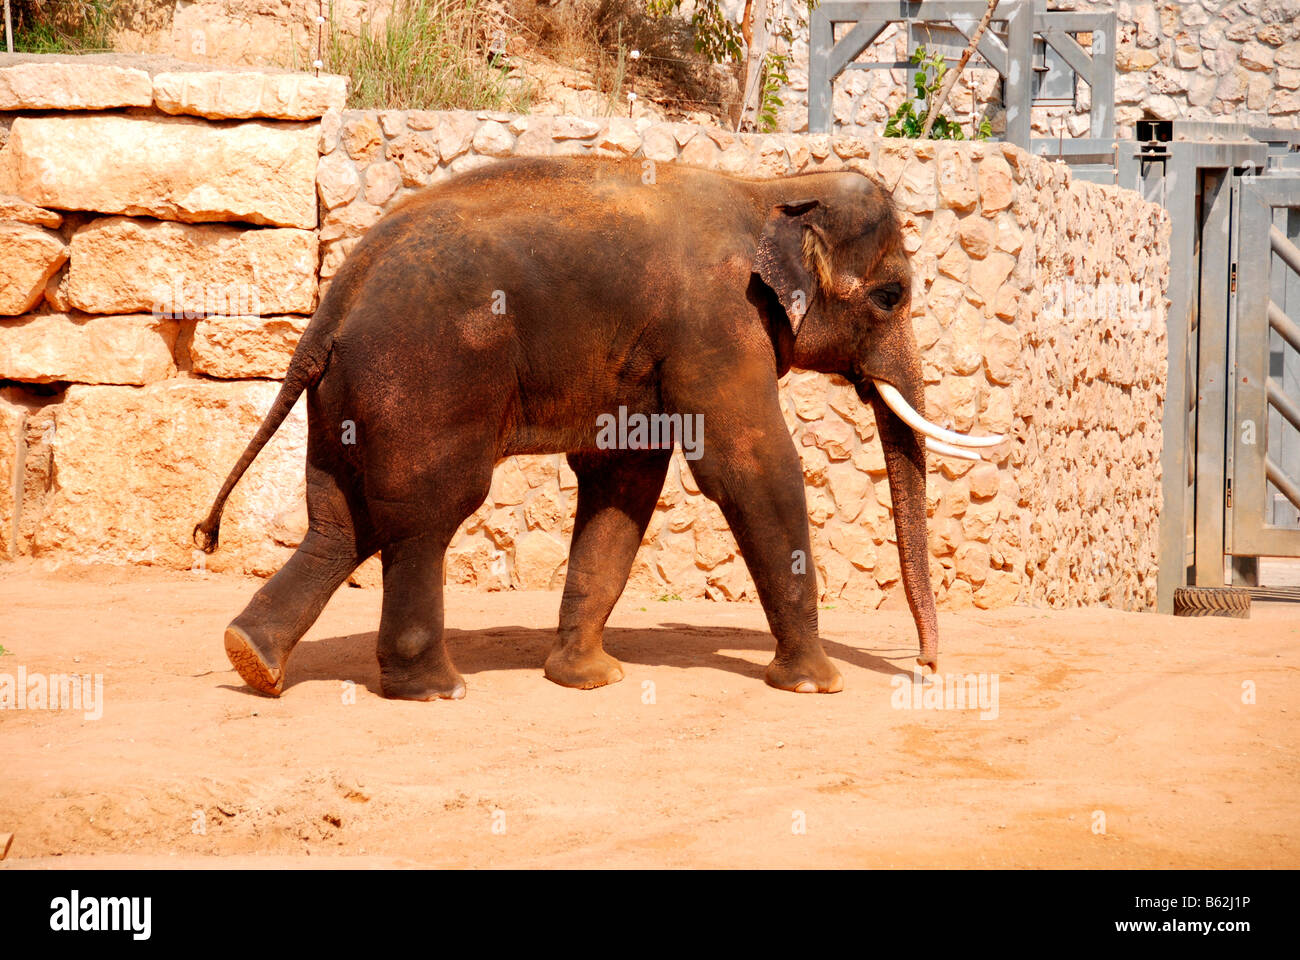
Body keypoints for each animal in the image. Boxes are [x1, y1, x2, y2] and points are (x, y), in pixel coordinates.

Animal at [195, 155, 1001, 701]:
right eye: (891, 296)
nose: (927, 666)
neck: (770, 186)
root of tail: (333, 302)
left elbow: (625, 480)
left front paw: (588, 679)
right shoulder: (720, 320)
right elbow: (750, 467)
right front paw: (815, 686)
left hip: (346, 395)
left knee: (338, 522)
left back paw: (252, 659)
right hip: (423, 378)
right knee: (425, 517)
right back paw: (435, 689)